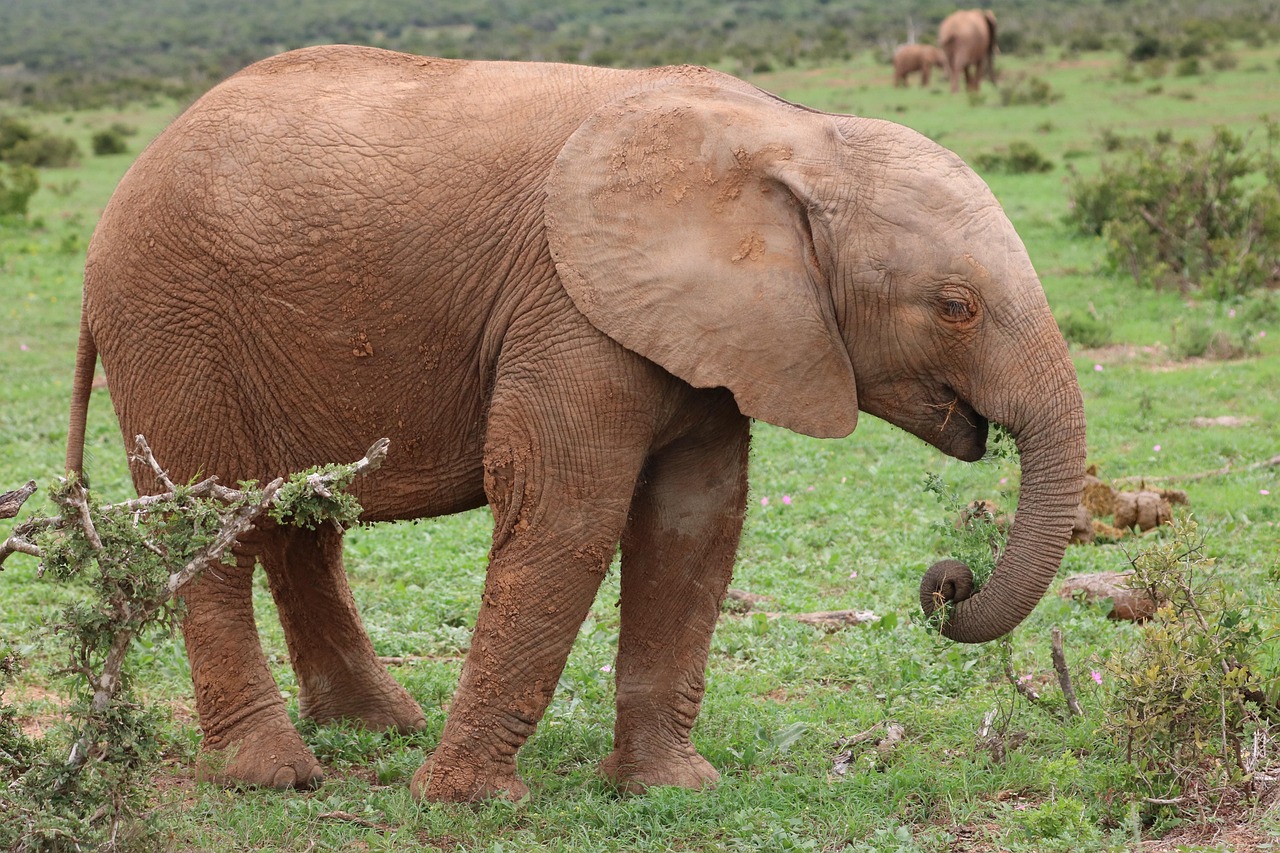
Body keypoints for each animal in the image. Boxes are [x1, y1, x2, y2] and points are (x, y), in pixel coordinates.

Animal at [65, 45, 1086, 803]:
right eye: (954, 308)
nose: (947, 581)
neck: (796, 135)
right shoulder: (569, 308)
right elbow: (568, 514)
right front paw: (467, 802)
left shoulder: (710, 331)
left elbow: (695, 523)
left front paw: (670, 790)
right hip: (169, 318)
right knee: (208, 525)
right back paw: (273, 776)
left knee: (298, 524)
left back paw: (377, 727)